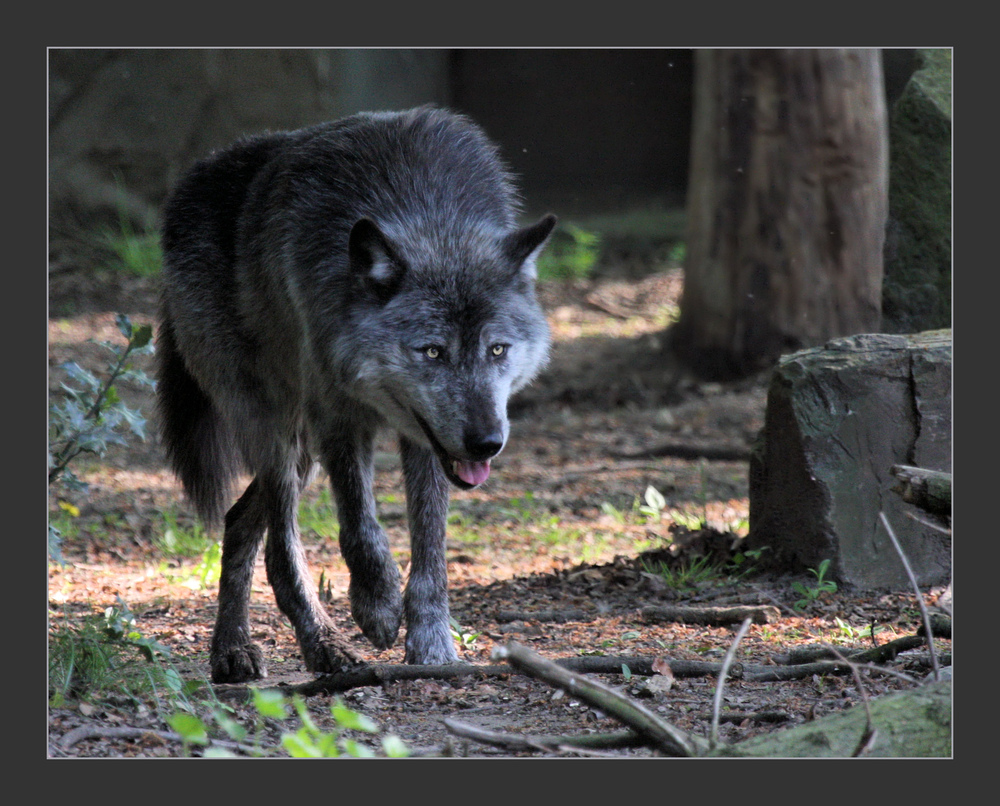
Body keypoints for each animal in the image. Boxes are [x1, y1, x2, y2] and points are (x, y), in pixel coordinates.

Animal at [156, 106, 555, 683]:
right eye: (432, 352)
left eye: (497, 349)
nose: (487, 443)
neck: (428, 216)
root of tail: (190, 180)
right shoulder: (337, 416)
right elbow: (362, 528)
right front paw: (377, 606)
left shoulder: (426, 441)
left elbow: (431, 546)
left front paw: (432, 646)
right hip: (276, 428)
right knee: (281, 550)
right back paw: (321, 646)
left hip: (301, 452)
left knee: (238, 521)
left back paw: (232, 648)